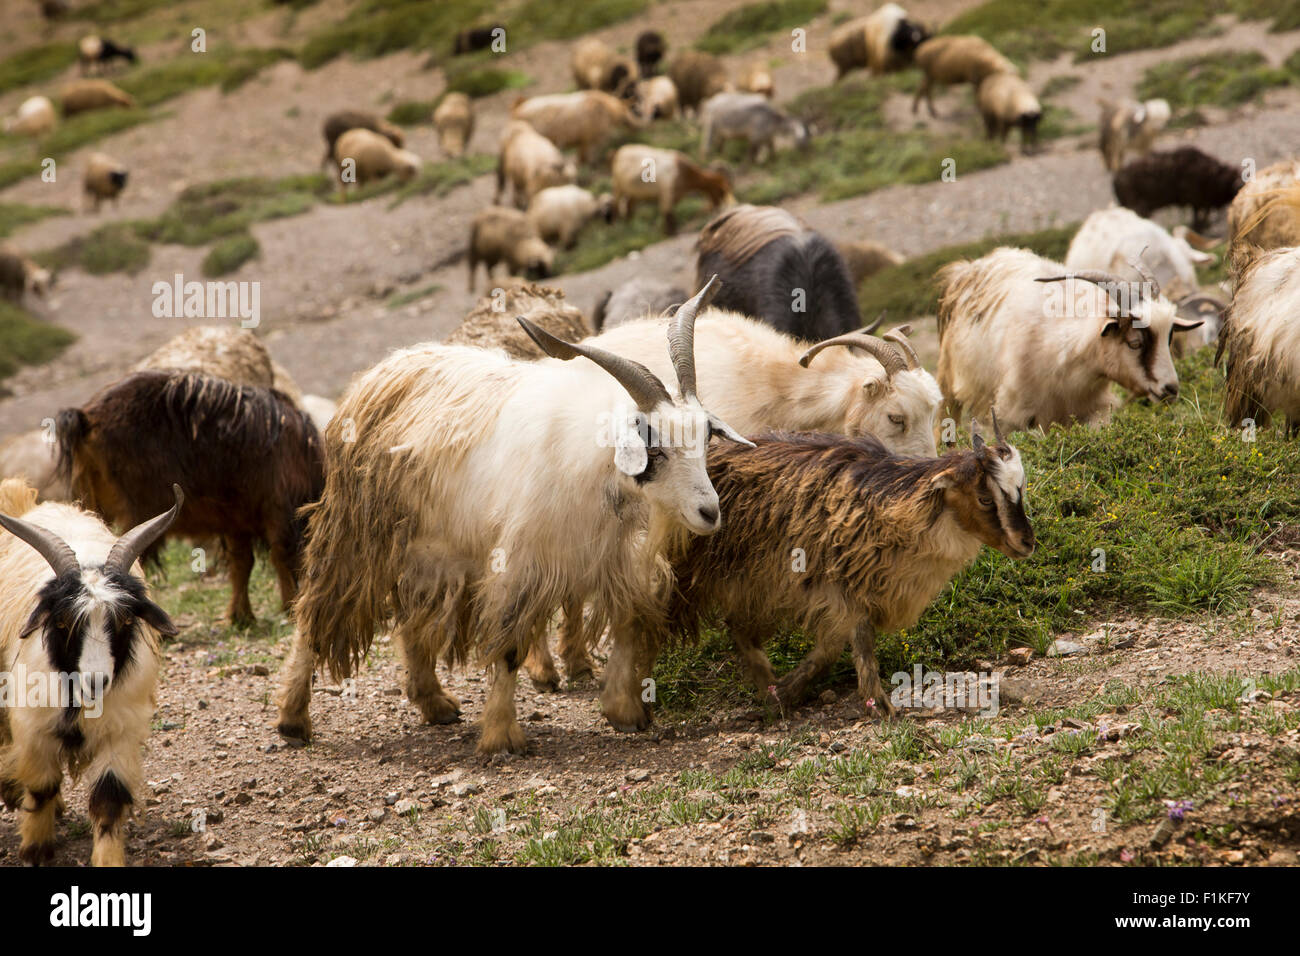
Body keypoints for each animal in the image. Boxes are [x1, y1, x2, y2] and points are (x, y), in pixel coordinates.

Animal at [0, 480, 180, 865]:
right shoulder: (34, 725)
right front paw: (35, 848)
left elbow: (108, 801)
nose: (97, 681)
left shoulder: (120, 730)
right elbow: (41, 786)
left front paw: (108, 858)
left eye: (124, 621)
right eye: (64, 622)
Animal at [55, 371, 324, 626]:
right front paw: (290, 608)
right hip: (138, 511)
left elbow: (242, 563)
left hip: (93, 503)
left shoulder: (237, 520)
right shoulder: (279, 509)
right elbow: (282, 556)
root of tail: (86, 417)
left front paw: (241, 616)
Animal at [274, 279, 752, 753]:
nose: (709, 513)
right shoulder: (521, 563)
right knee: (315, 609)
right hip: (355, 531)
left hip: (431, 545)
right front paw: (502, 735)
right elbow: (508, 647)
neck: (597, 468)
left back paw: (434, 703)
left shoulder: (619, 560)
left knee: (412, 620)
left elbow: (628, 624)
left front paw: (625, 711)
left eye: (705, 438)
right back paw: (293, 719)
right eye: (655, 449)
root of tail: (377, 374)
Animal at [936, 247, 1204, 431]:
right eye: (1134, 343)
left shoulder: (1094, 414)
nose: (1170, 389)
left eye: (1168, 340)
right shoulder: (1009, 418)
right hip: (949, 386)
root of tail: (965, 269)